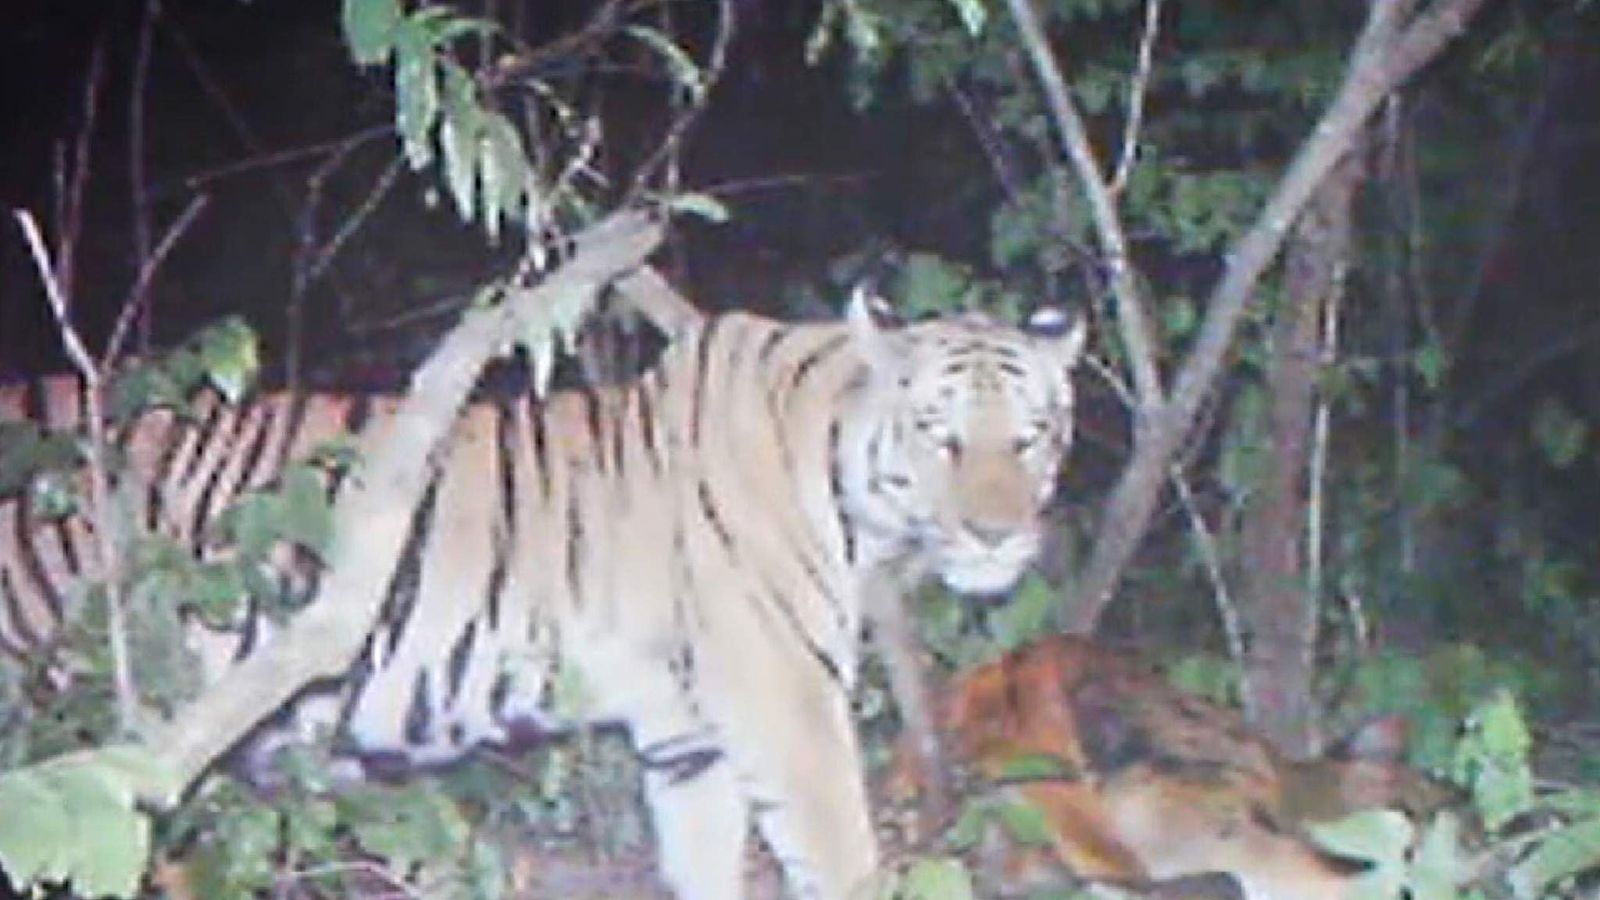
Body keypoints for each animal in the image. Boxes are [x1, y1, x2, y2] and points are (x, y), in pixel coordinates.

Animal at [0, 290, 1088, 900]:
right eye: (941, 436)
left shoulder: (688, 738)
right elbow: (848, 858)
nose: (997, 533)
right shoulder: (787, 711)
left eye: (1031, 434)